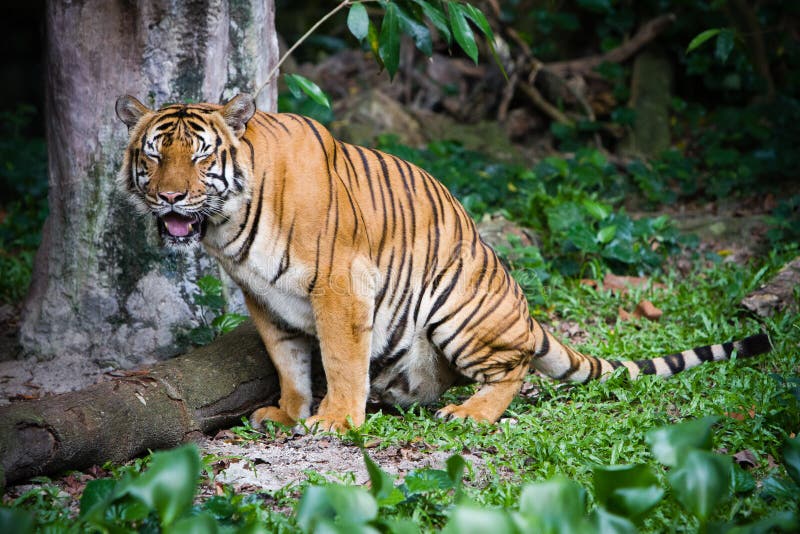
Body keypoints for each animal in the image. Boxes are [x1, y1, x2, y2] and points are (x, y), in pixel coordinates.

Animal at [115, 93, 772, 432]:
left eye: (202, 157)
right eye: (155, 155)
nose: (171, 197)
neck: (227, 224)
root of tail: (526, 316)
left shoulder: (341, 284)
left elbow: (341, 359)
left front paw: (336, 421)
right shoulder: (264, 299)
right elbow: (289, 362)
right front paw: (289, 413)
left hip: (459, 308)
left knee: (513, 369)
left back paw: (471, 413)